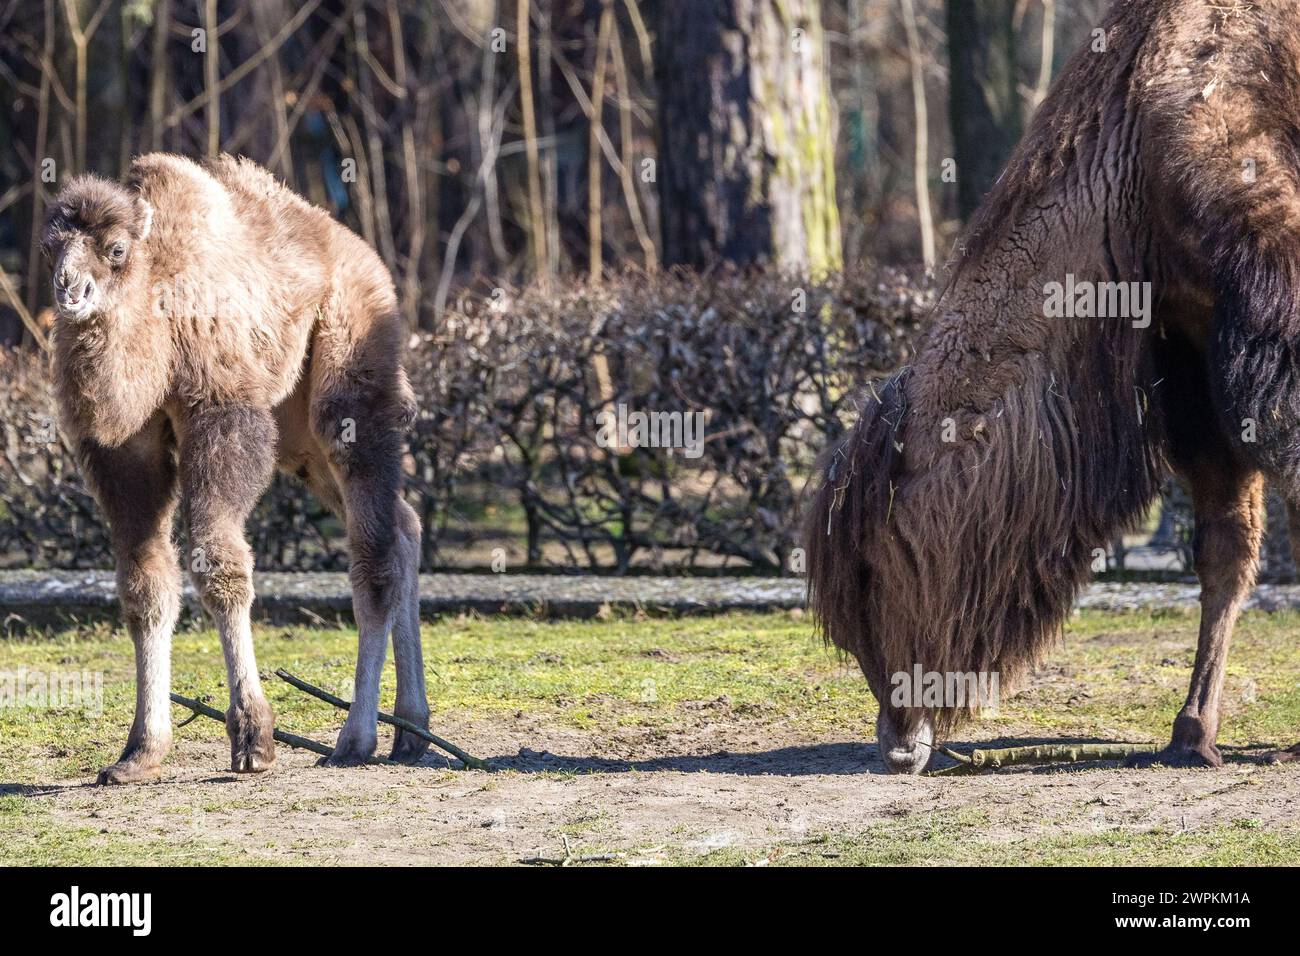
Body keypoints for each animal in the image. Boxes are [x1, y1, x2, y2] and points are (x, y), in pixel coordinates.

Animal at [41, 153, 426, 783]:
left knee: (375, 552)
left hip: (348, 366)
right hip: (297, 433)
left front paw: (253, 737)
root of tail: (363, 255)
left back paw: (355, 739)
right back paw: (412, 732)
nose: (70, 289)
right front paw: (139, 752)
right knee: (405, 525)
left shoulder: (222, 411)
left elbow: (219, 563)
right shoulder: (125, 449)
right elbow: (145, 582)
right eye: (51, 247)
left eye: (116, 249)